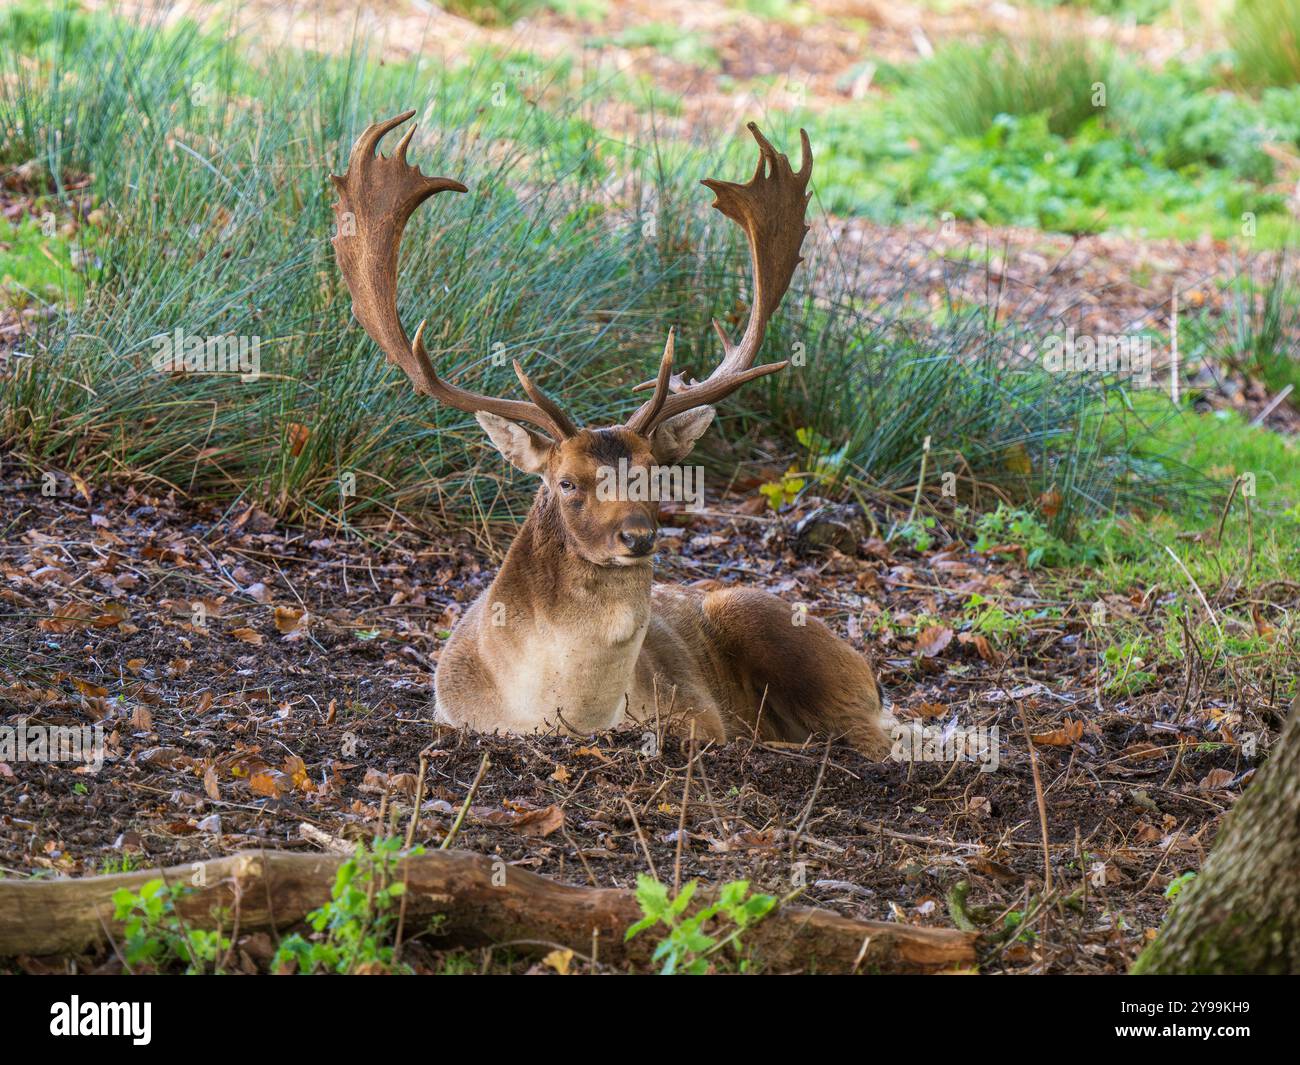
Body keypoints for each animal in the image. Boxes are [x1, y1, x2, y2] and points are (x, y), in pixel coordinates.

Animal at [330, 112, 898, 758]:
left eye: (656, 475)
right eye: (566, 482)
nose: (637, 536)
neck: (565, 713)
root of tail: (871, 675)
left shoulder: (698, 715)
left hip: (772, 624)